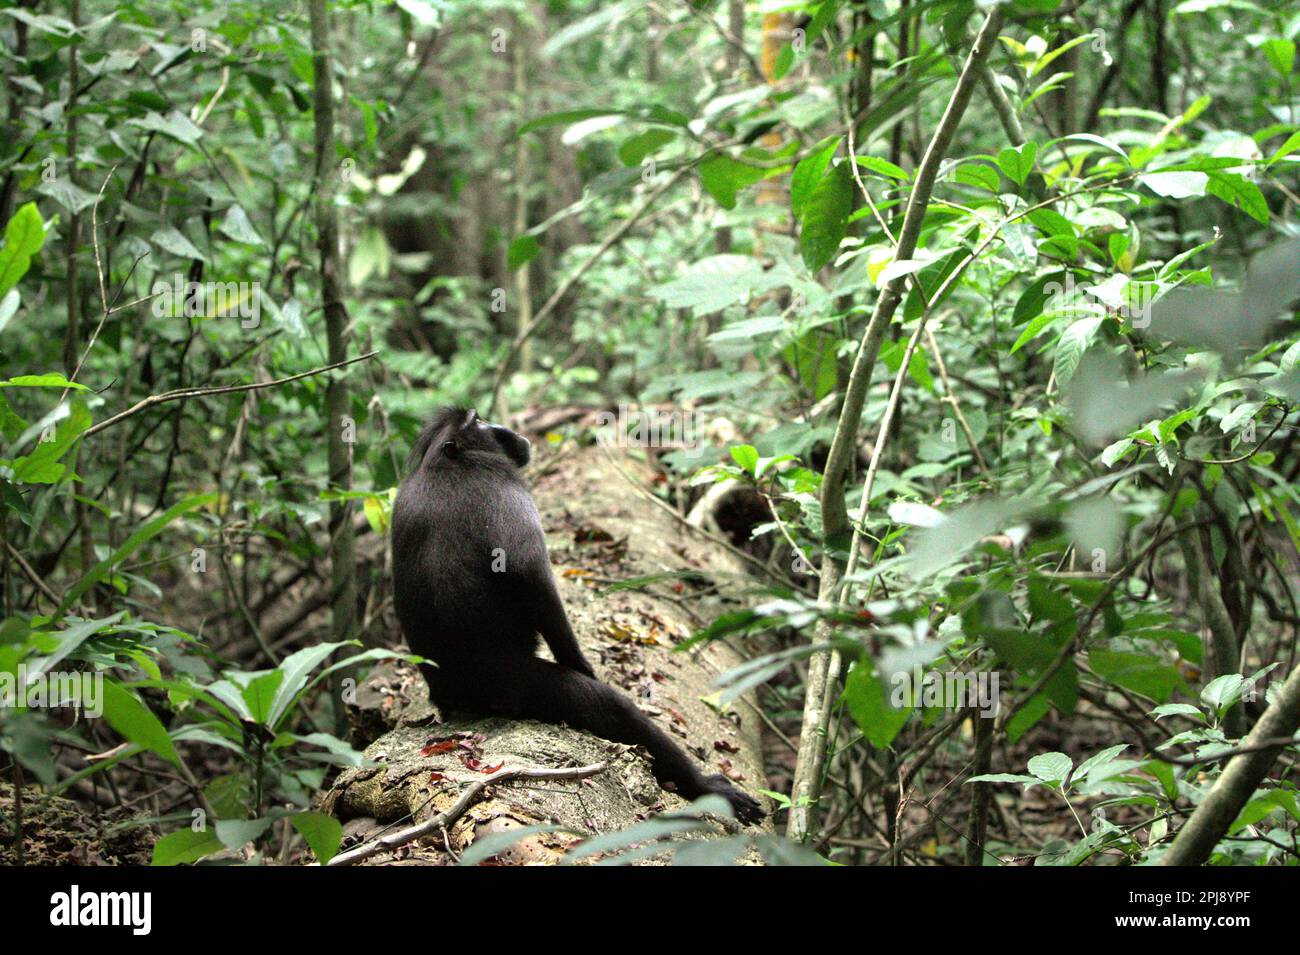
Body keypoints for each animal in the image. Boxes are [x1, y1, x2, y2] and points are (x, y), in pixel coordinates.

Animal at [391, 407, 763, 824]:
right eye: (479, 421)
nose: (505, 428)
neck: (445, 463)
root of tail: (454, 699)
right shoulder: (501, 485)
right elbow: (530, 572)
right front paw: (581, 663)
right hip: (522, 686)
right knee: (615, 710)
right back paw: (704, 786)